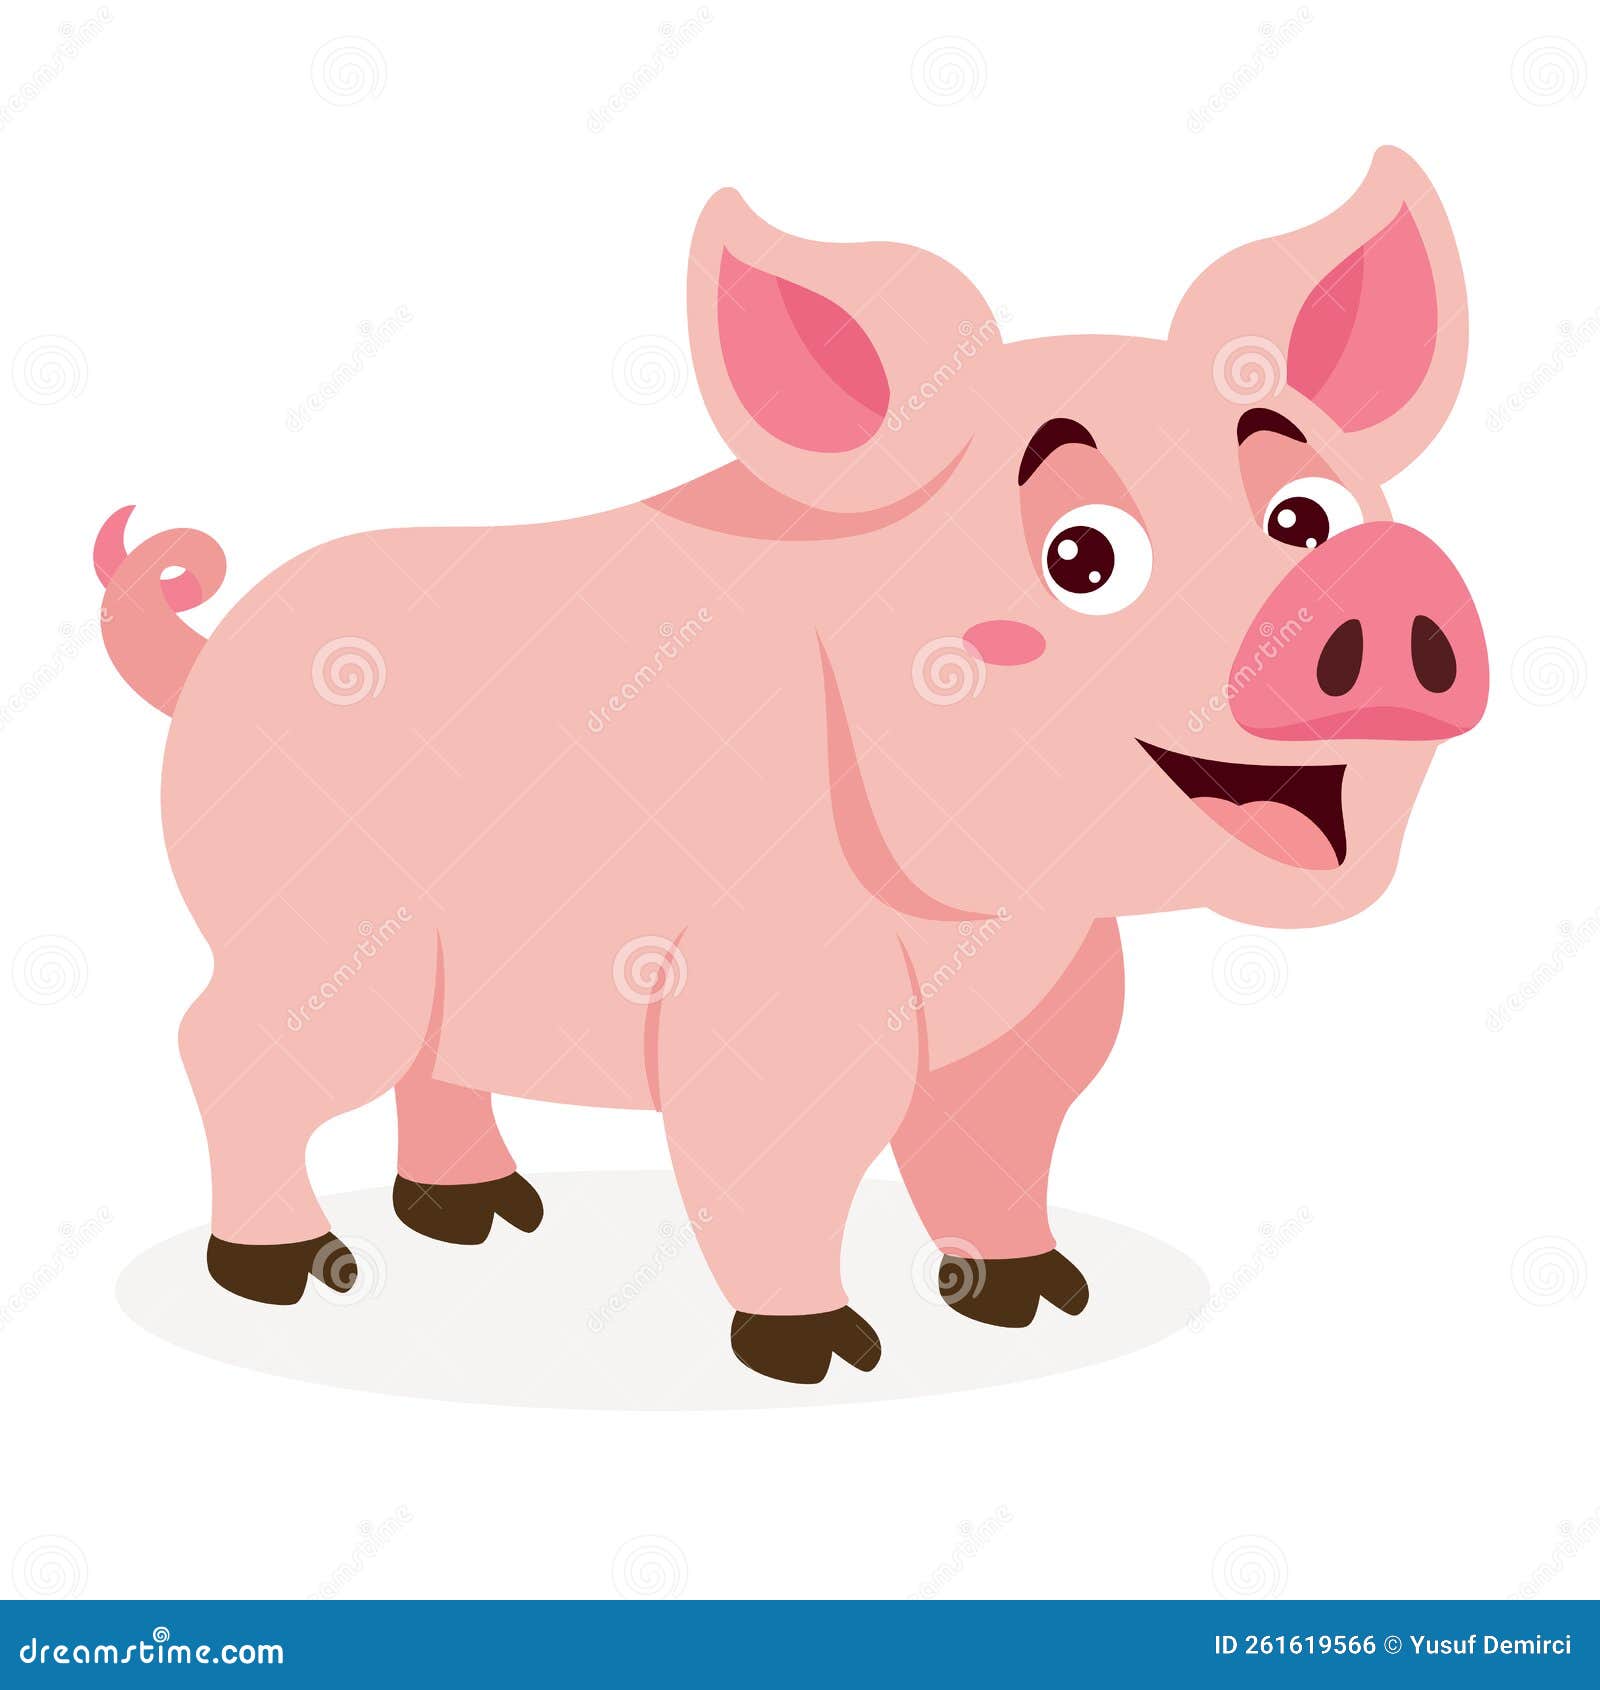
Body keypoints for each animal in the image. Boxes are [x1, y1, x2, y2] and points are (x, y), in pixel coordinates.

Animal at [98, 147, 1486, 1383]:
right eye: (1083, 557)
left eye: (1303, 515)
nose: (1376, 578)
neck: (999, 913)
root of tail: (209, 656)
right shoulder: (765, 992)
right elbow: (778, 1160)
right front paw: (821, 1356)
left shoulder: (1040, 1016)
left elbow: (999, 1145)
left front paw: (1040, 1300)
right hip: (320, 926)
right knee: (229, 1045)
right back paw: (294, 1272)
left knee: (428, 1066)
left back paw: (490, 1216)